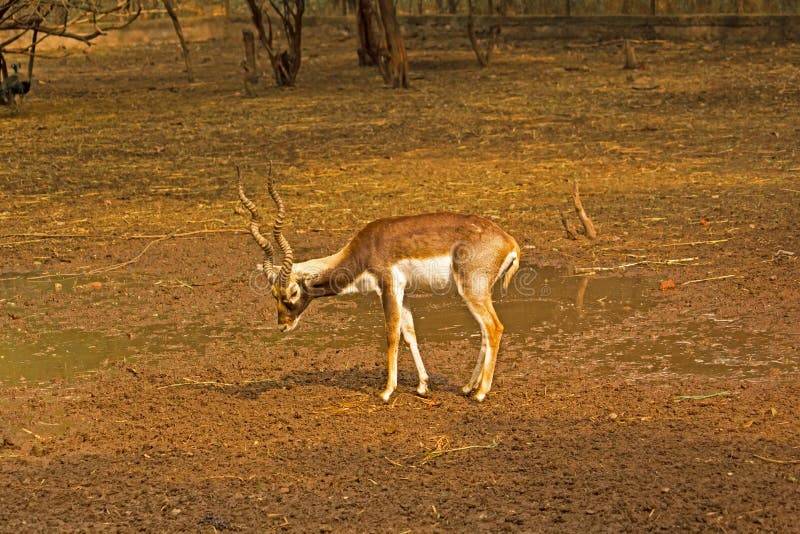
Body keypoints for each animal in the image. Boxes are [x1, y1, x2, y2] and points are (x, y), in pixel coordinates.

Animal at [237, 164, 520, 402]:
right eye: (273, 295)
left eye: (293, 292)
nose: (283, 326)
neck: (364, 250)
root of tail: (510, 242)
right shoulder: (403, 291)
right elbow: (409, 333)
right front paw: (422, 386)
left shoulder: (388, 285)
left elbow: (392, 333)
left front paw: (386, 392)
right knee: (484, 332)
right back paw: (468, 387)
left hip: (472, 290)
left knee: (493, 328)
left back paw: (480, 393)